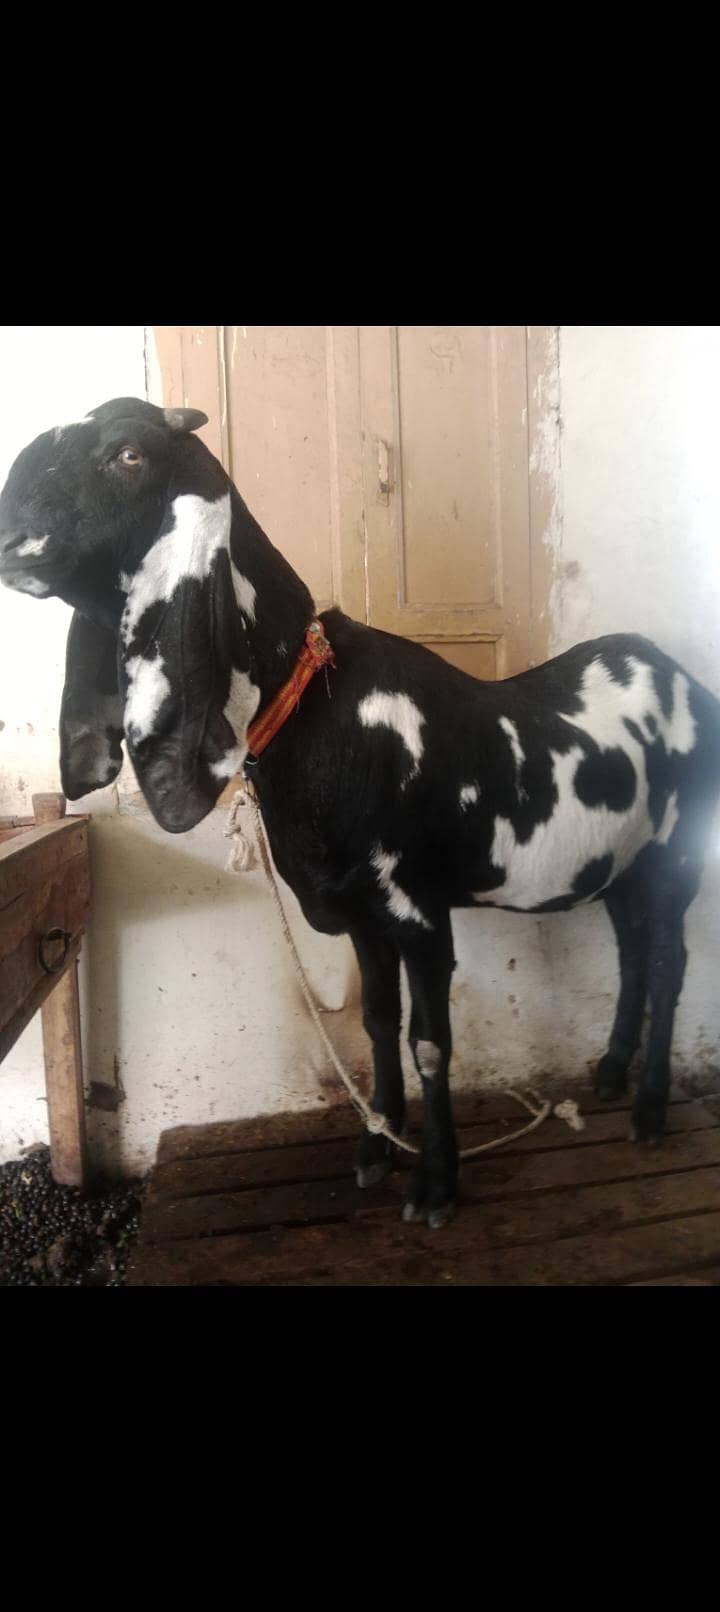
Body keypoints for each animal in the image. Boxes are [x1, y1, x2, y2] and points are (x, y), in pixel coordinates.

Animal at [1, 397, 719, 1227]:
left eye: (127, 454)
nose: (8, 534)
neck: (314, 708)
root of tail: (685, 681)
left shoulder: (417, 910)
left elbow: (430, 1042)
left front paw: (435, 1185)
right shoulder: (360, 914)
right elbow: (377, 1025)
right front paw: (377, 1147)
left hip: (676, 854)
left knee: (668, 962)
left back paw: (649, 1110)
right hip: (621, 864)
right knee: (634, 949)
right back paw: (609, 1071)